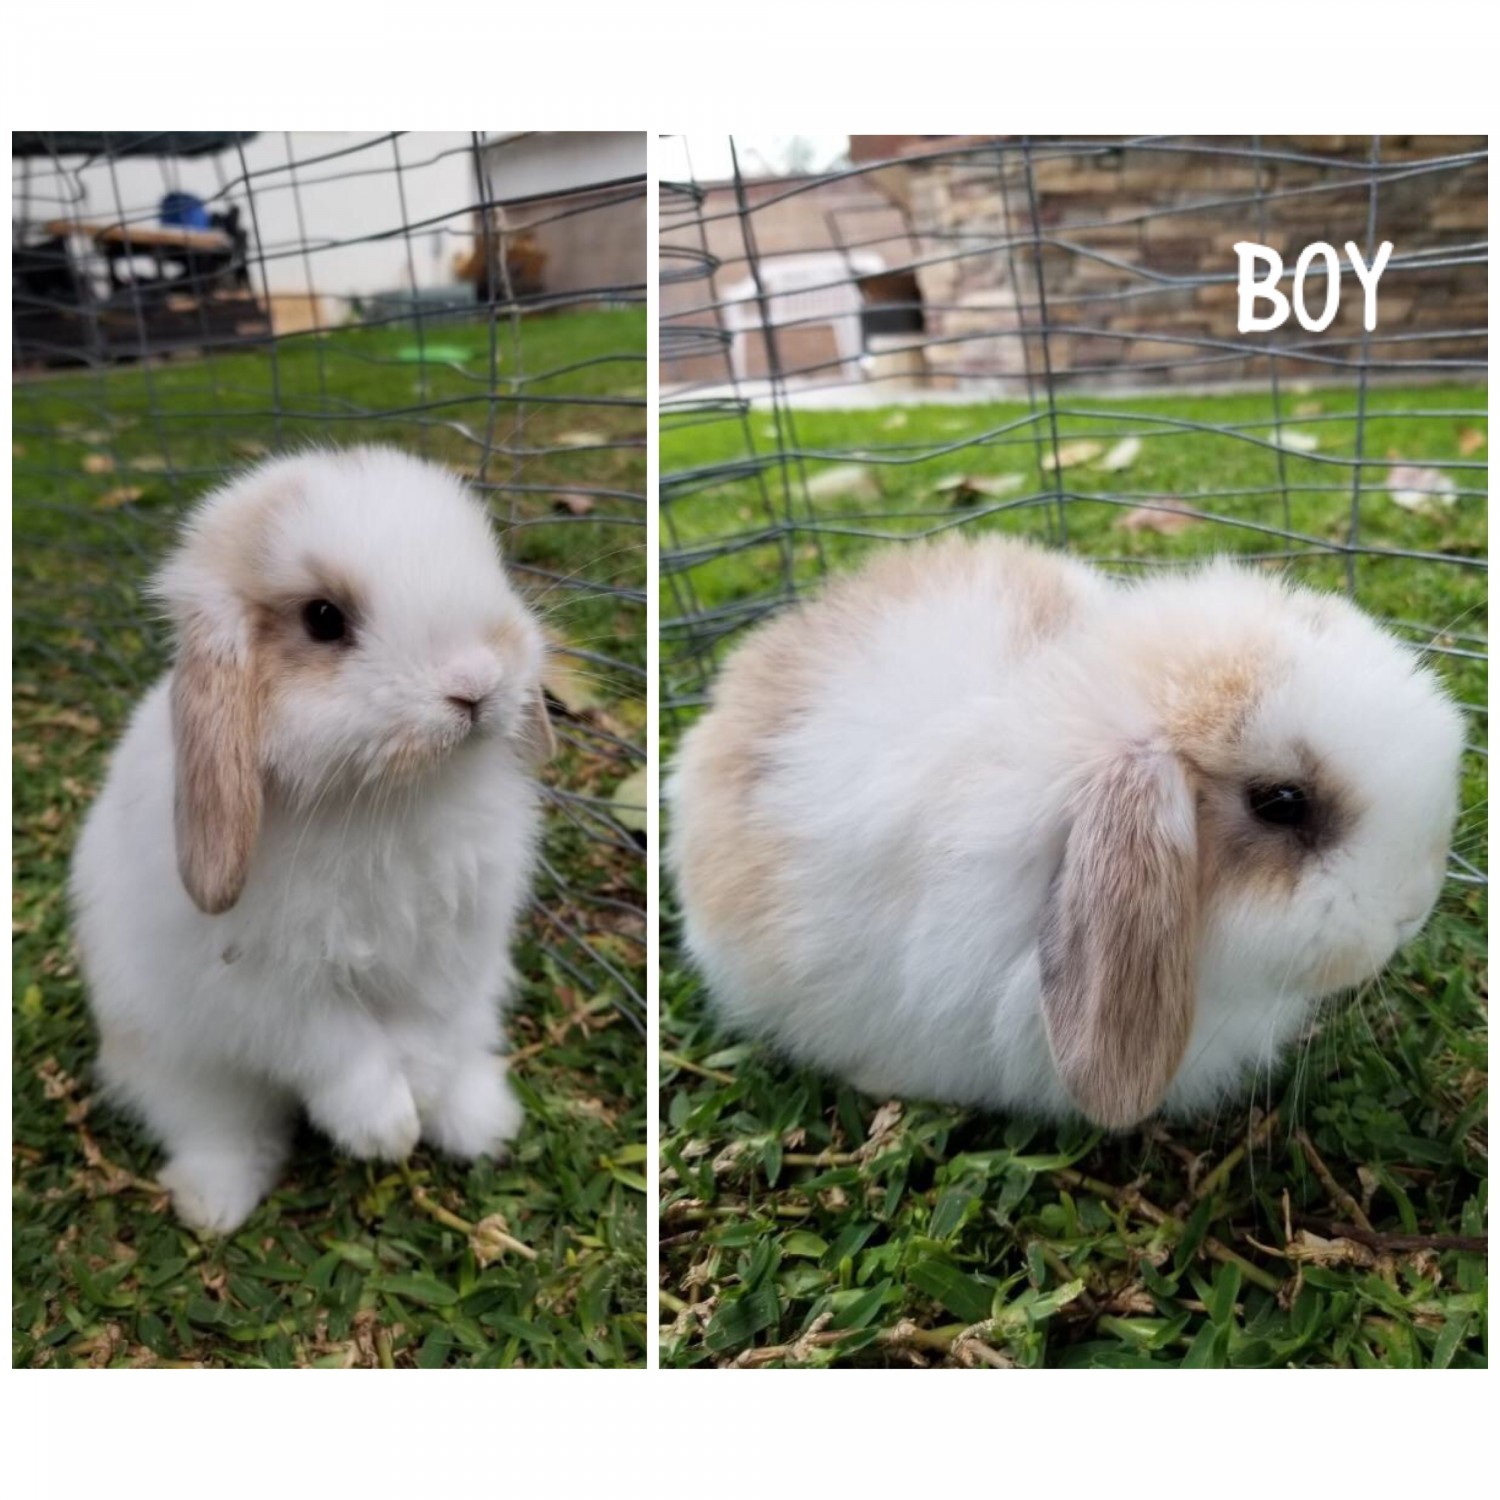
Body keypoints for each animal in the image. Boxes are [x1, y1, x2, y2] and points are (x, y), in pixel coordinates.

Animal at [69, 447, 556, 1233]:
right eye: (324, 618)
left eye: (491, 564)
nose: (477, 682)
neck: (389, 801)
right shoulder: (268, 993)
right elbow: (342, 1051)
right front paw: (386, 1131)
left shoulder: (454, 951)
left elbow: (426, 1030)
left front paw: (424, 1097)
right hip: (181, 1069)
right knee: (219, 1127)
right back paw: (213, 1204)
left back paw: (480, 1124)